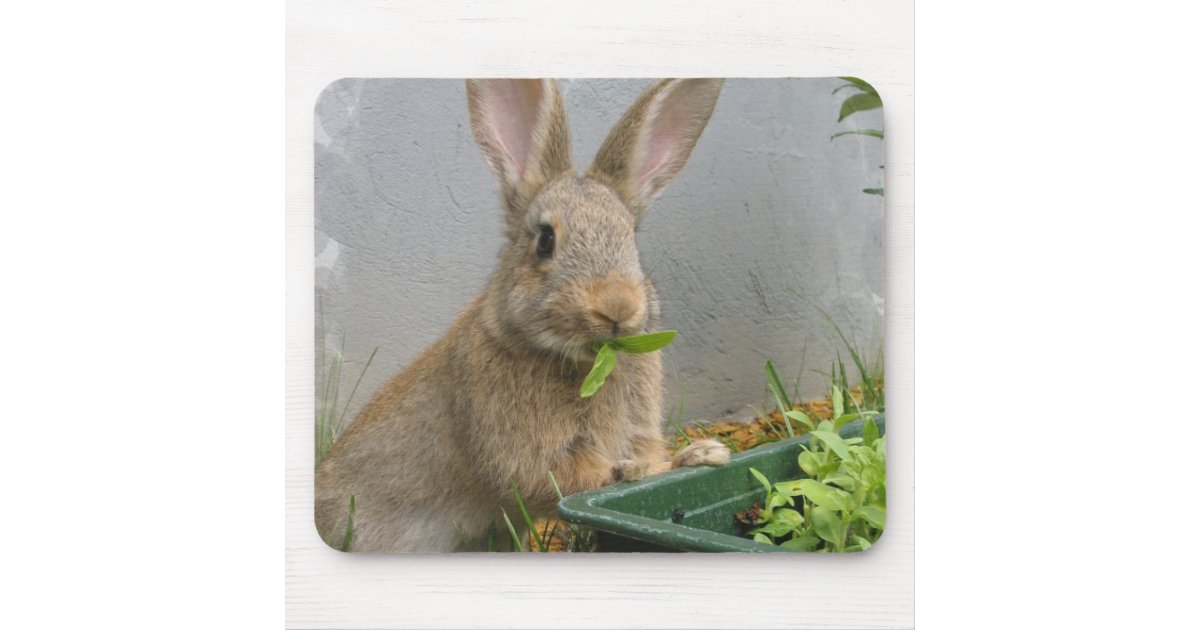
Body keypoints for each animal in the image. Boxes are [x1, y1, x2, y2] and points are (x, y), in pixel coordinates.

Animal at [315, 78, 730, 552]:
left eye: (631, 239)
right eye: (545, 240)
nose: (616, 307)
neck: (583, 361)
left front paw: (703, 454)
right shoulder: (529, 455)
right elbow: (578, 479)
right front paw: (690, 458)